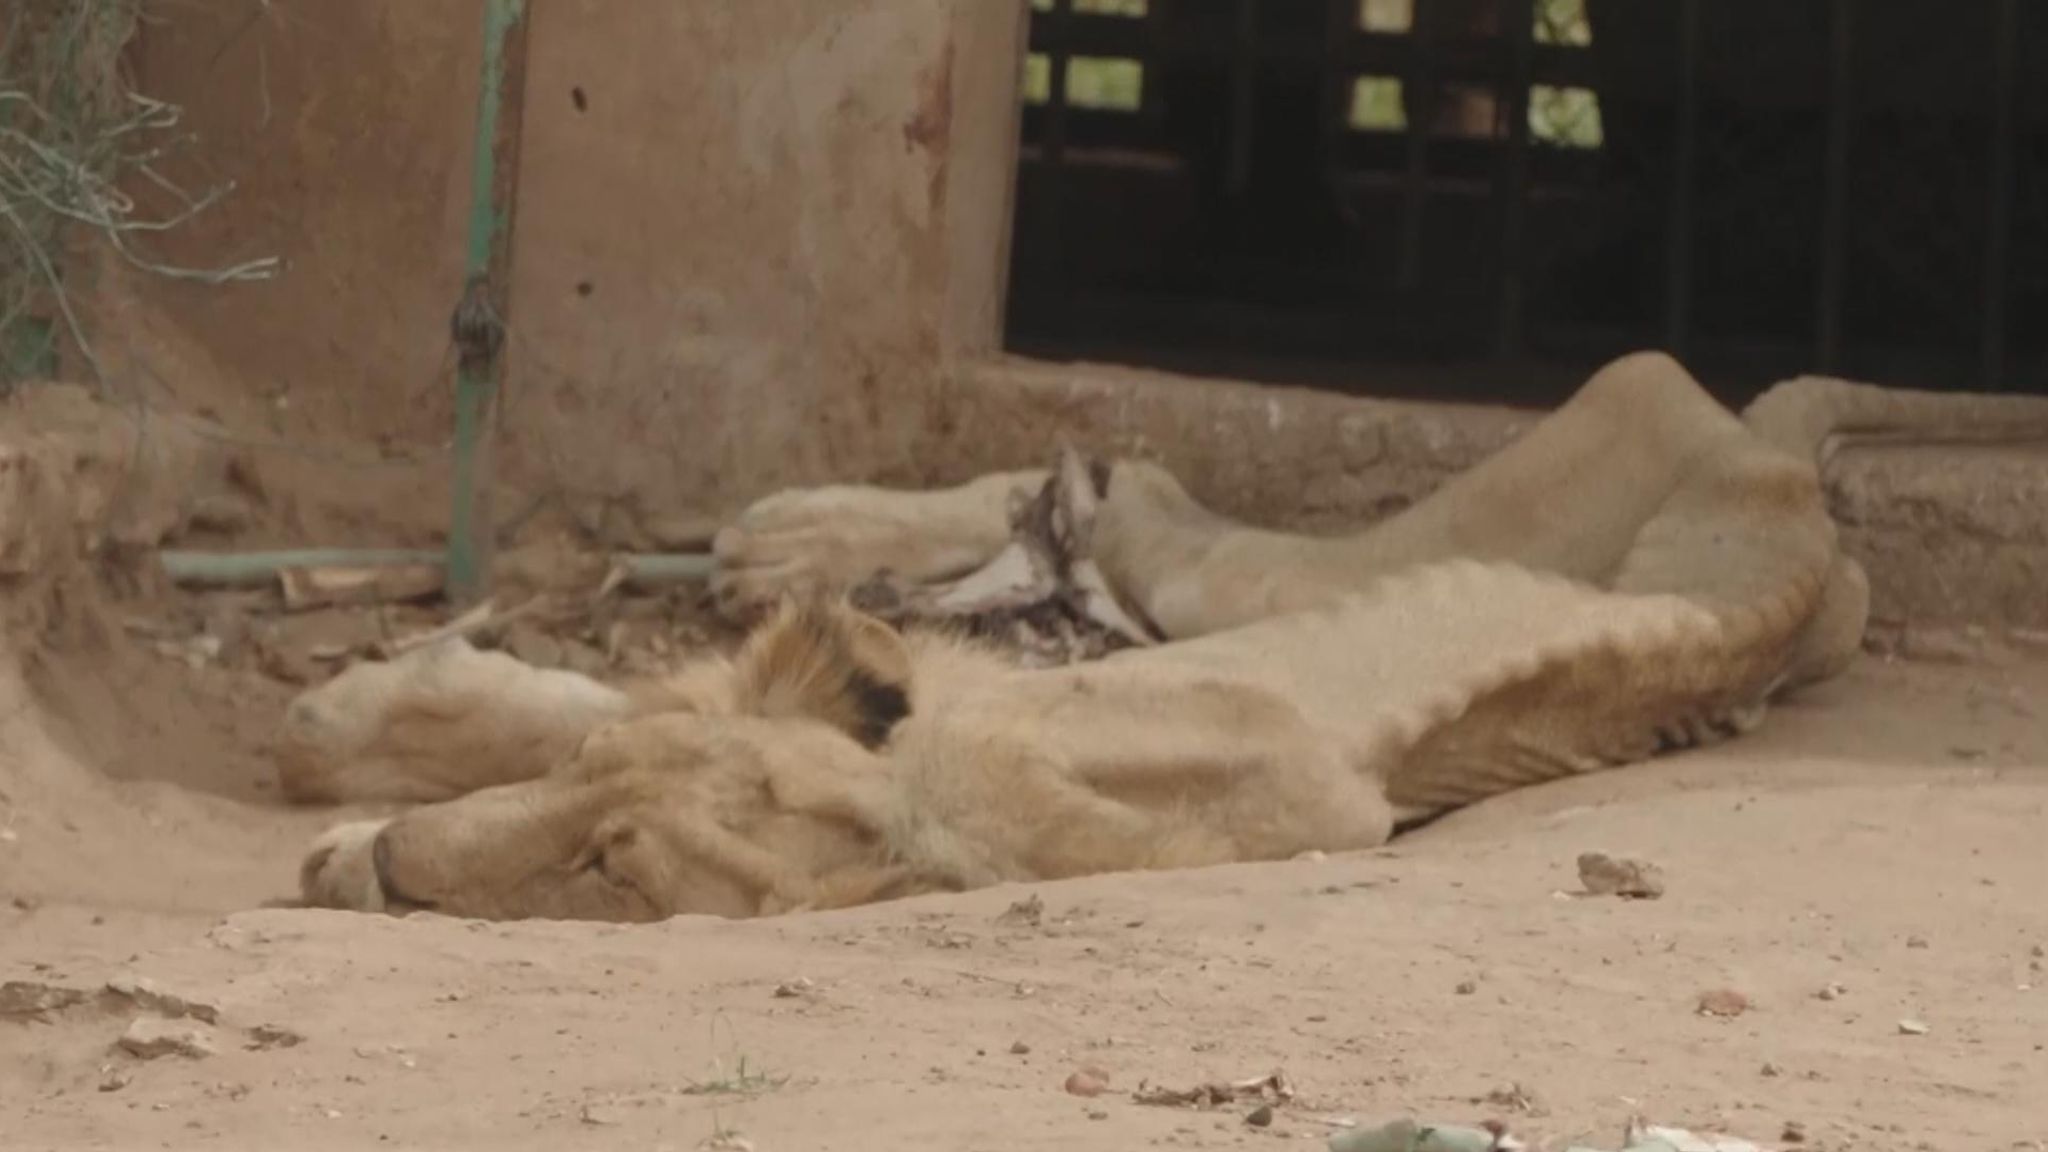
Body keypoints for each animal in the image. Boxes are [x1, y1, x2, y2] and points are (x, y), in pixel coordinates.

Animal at [287, 352, 2048, 922]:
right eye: (587, 818)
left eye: (608, 874)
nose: (394, 875)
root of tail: (1776, 474)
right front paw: (361, 744)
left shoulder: (1296, 767)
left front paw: (362, 821)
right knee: (1110, 493)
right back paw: (783, 536)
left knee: (1125, 496)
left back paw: (784, 539)